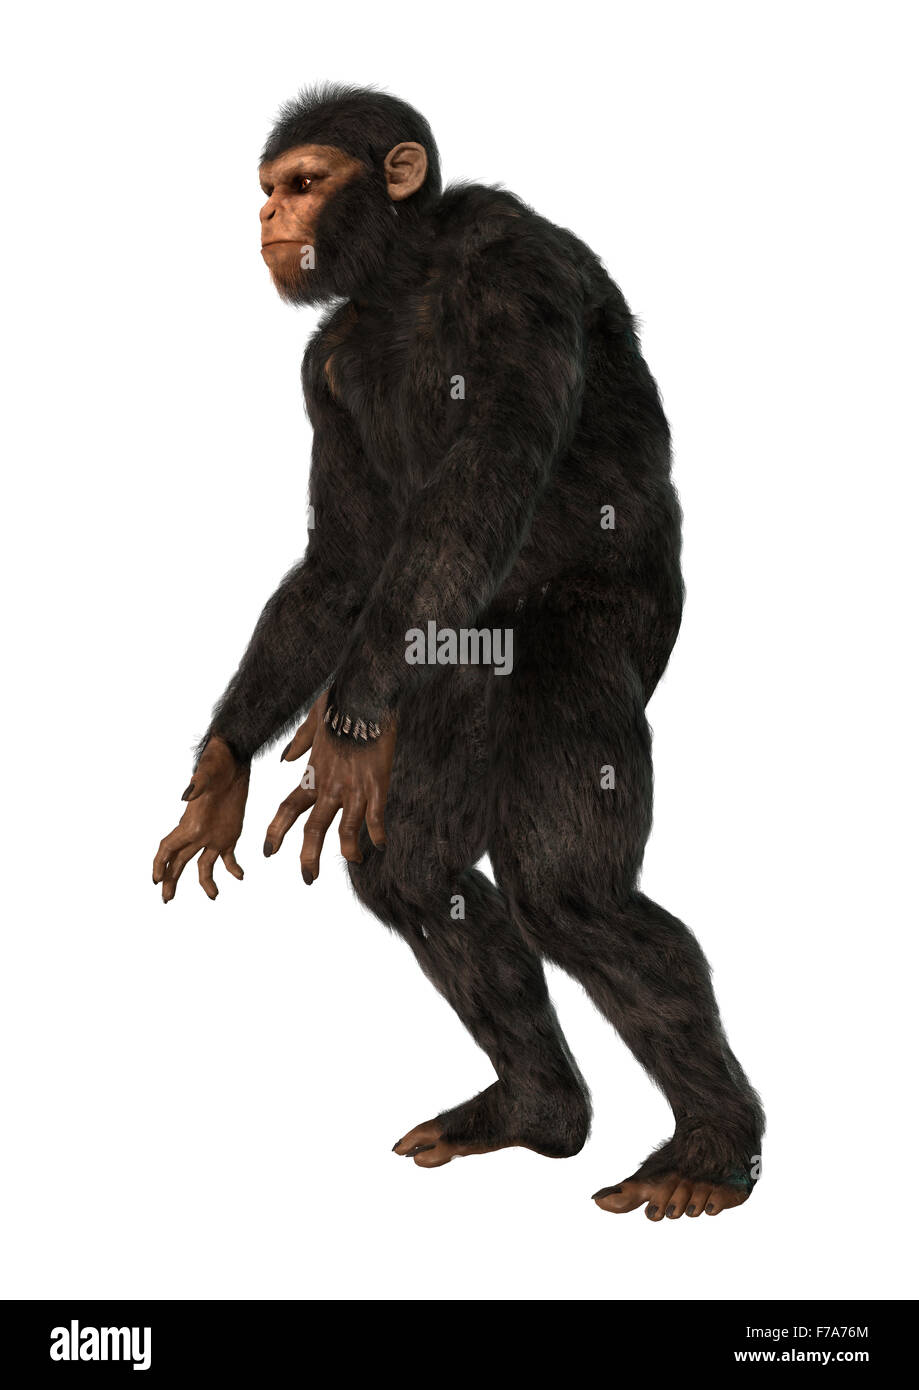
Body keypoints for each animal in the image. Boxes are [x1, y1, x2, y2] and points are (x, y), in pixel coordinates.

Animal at [153, 84, 764, 1220]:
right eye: (272, 186)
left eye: (305, 180)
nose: (268, 216)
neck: (406, 270)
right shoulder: (323, 368)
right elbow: (345, 557)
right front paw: (220, 773)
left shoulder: (514, 270)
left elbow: (484, 472)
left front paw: (341, 728)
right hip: (443, 690)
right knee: (419, 864)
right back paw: (537, 1111)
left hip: (579, 652)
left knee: (570, 891)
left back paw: (710, 1152)